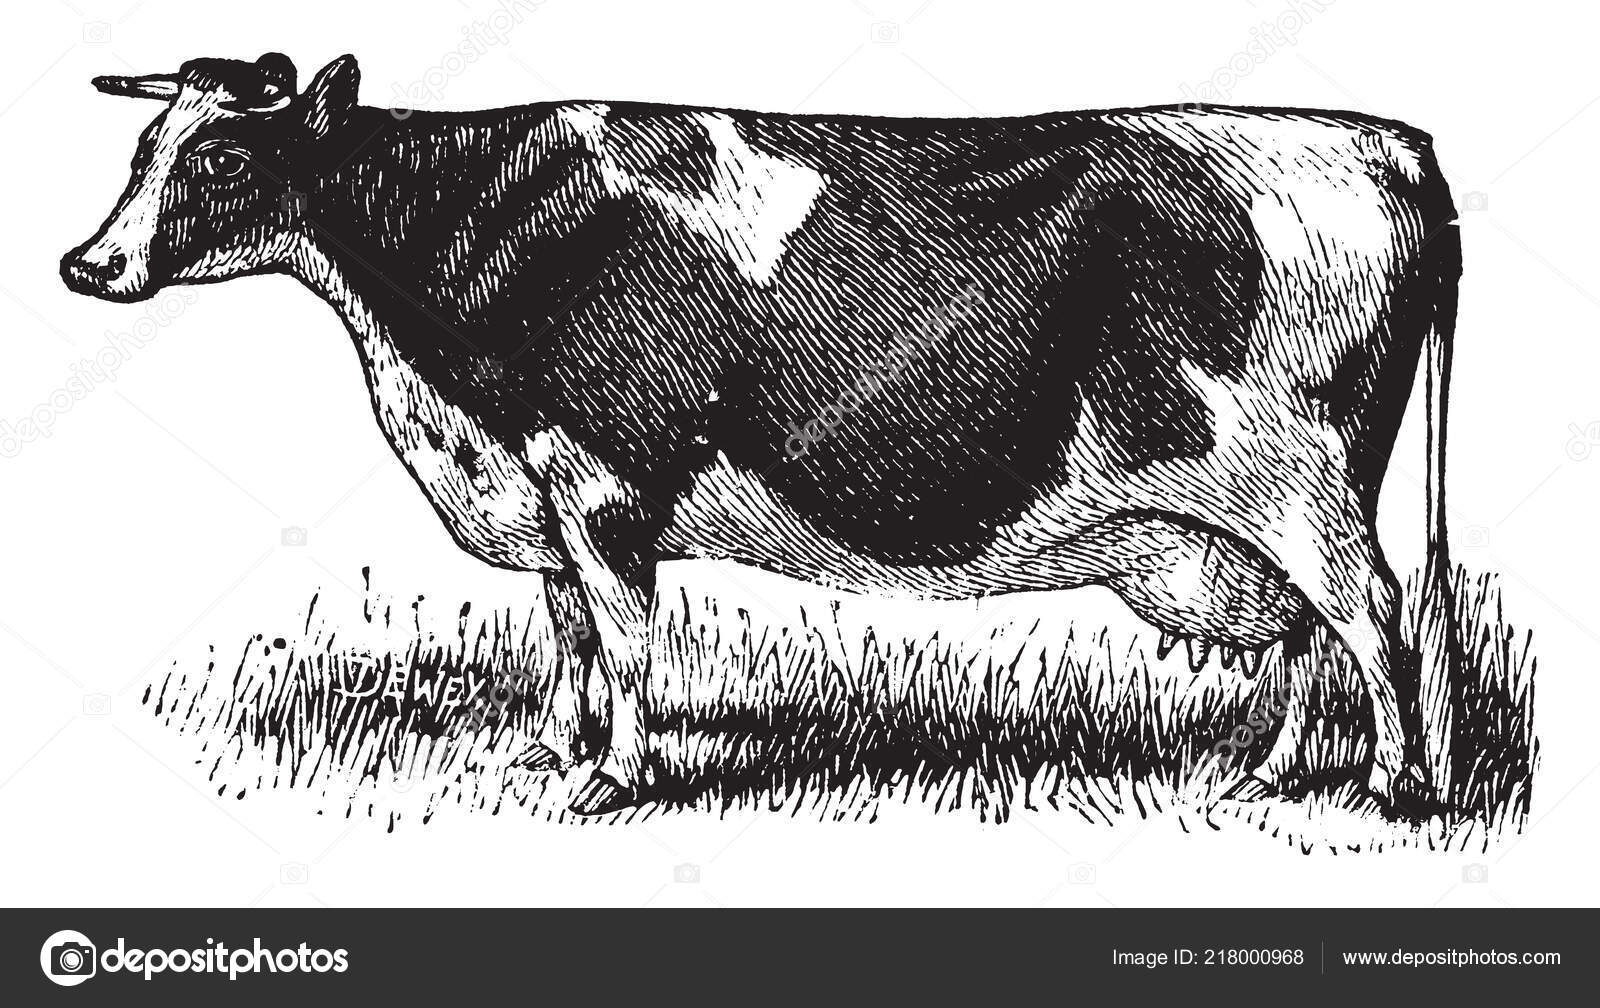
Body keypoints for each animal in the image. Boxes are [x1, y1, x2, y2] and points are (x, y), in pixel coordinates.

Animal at [62, 53, 1462, 816]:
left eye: (222, 160)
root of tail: (1390, 144)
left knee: (1380, 617)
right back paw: (1272, 773)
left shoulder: (604, 480)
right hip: (1257, 515)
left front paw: (614, 778)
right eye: (141, 146)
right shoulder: (543, 493)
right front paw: (548, 748)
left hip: (1302, 482)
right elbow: (568, 632)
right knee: (1310, 633)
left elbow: (627, 639)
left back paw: (1396, 787)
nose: (88, 263)